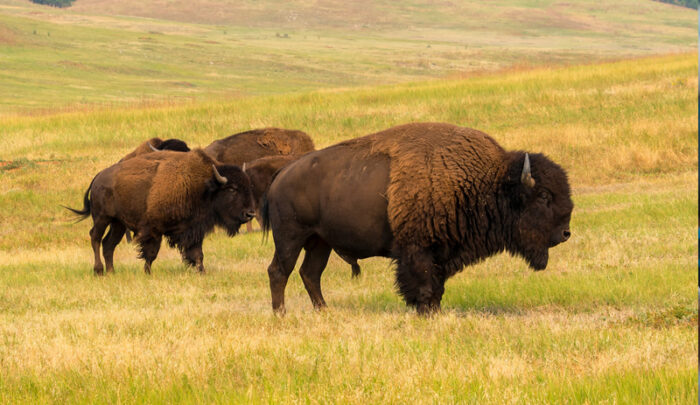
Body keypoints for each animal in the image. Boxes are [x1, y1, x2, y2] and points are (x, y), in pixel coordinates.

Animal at [66, 149, 256, 275]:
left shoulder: (193, 230)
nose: (250, 214)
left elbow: (197, 253)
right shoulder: (153, 230)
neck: (203, 187)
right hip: (102, 218)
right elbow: (151, 253)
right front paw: (147, 273)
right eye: (232, 189)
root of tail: (98, 178)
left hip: (118, 224)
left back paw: (112, 272)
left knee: (108, 244)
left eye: (247, 186)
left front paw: (202, 271)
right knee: (95, 238)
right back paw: (99, 271)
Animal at [262, 122, 573, 314]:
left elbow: (437, 285)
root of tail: (282, 173)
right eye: (544, 196)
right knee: (279, 271)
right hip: (290, 237)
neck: (486, 180)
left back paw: (324, 311)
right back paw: (281, 315)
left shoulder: (442, 252)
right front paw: (425, 311)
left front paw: (434, 310)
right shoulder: (418, 250)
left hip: (320, 242)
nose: (565, 233)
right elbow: (422, 284)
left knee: (310, 273)